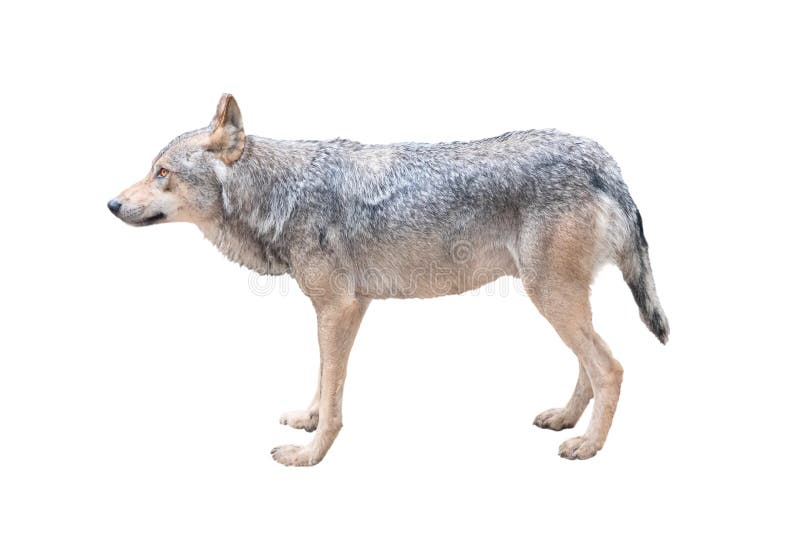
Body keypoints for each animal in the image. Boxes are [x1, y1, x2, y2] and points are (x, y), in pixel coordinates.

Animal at [108, 94, 668, 465]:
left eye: (162, 173)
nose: (111, 204)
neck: (280, 193)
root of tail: (603, 161)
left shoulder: (336, 308)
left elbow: (335, 396)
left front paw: (310, 454)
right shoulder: (346, 308)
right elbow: (323, 379)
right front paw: (309, 420)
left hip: (551, 297)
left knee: (611, 368)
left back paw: (588, 445)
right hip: (559, 300)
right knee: (590, 365)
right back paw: (567, 420)